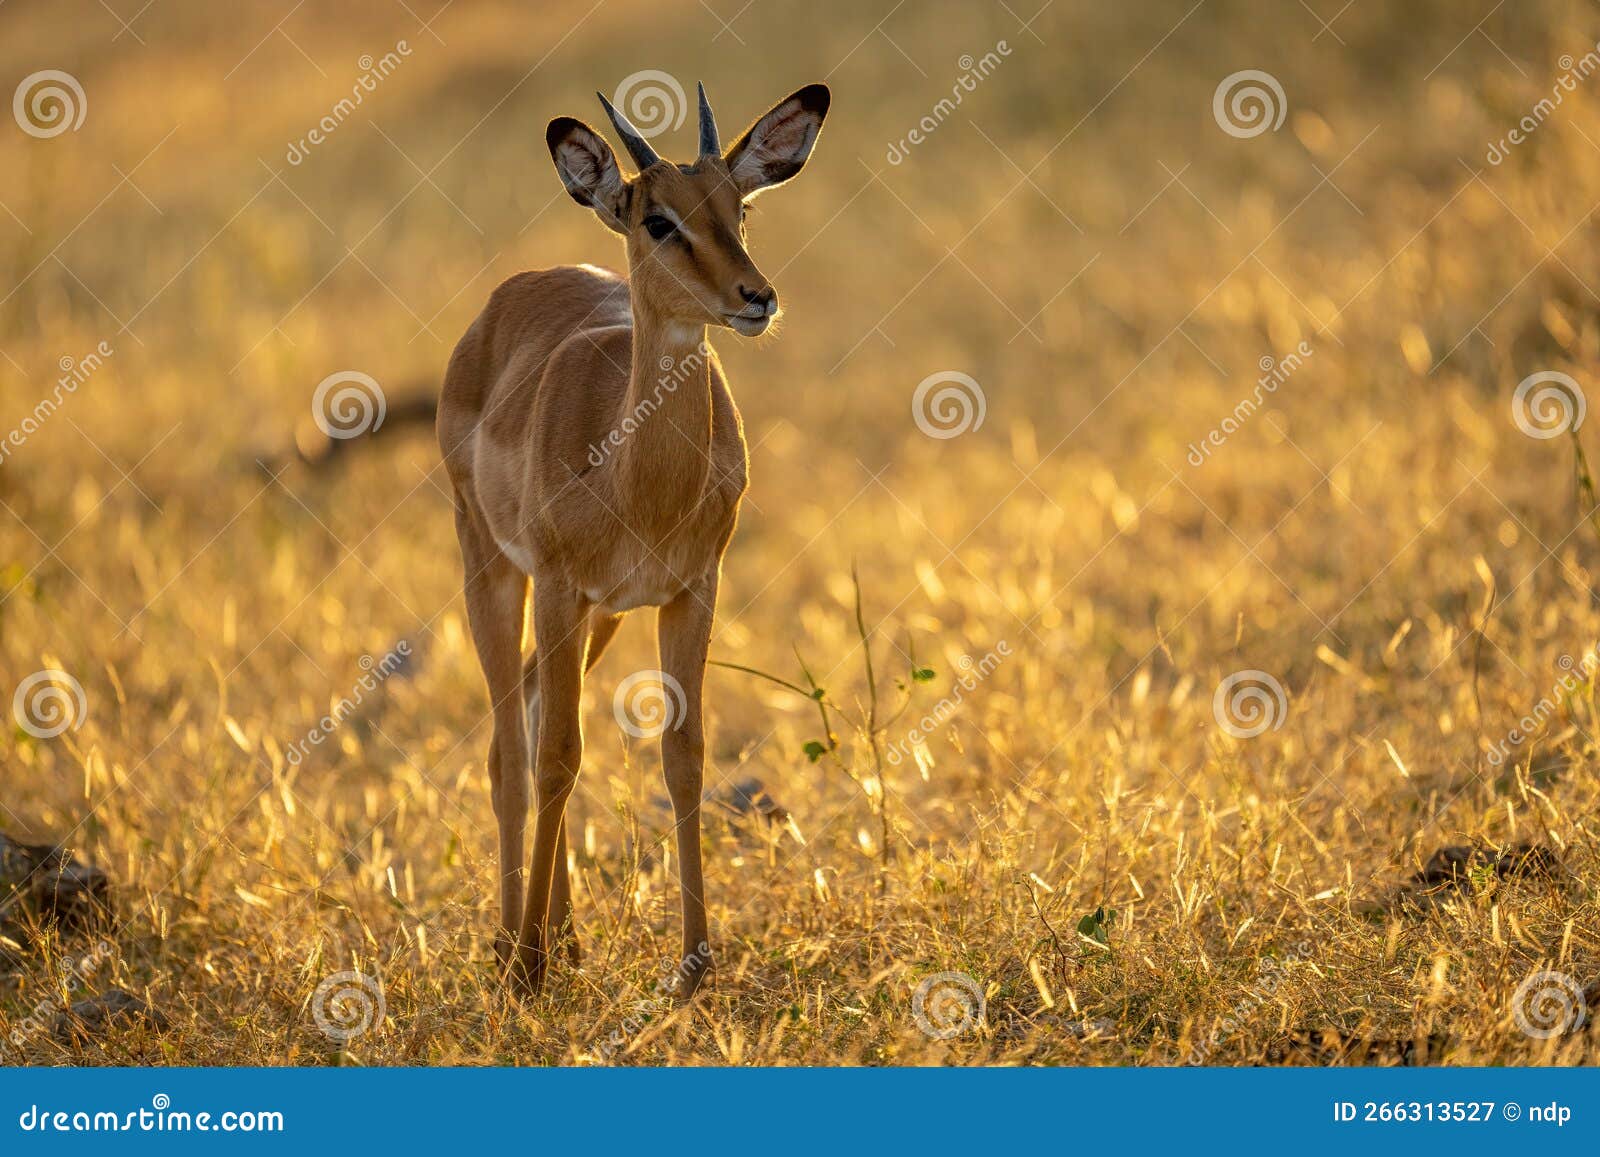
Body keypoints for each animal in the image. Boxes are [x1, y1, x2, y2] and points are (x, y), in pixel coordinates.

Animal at [437, 82, 830, 996]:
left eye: (740, 207)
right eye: (658, 218)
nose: (756, 296)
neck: (637, 476)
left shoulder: (689, 590)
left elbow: (683, 758)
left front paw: (692, 968)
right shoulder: (557, 583)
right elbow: (555, 757)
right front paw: (528, 970)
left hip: (601, 614)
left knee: (536, 707)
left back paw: (564, 939)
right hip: (493, 569)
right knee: (512, 749)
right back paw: (513, 947)